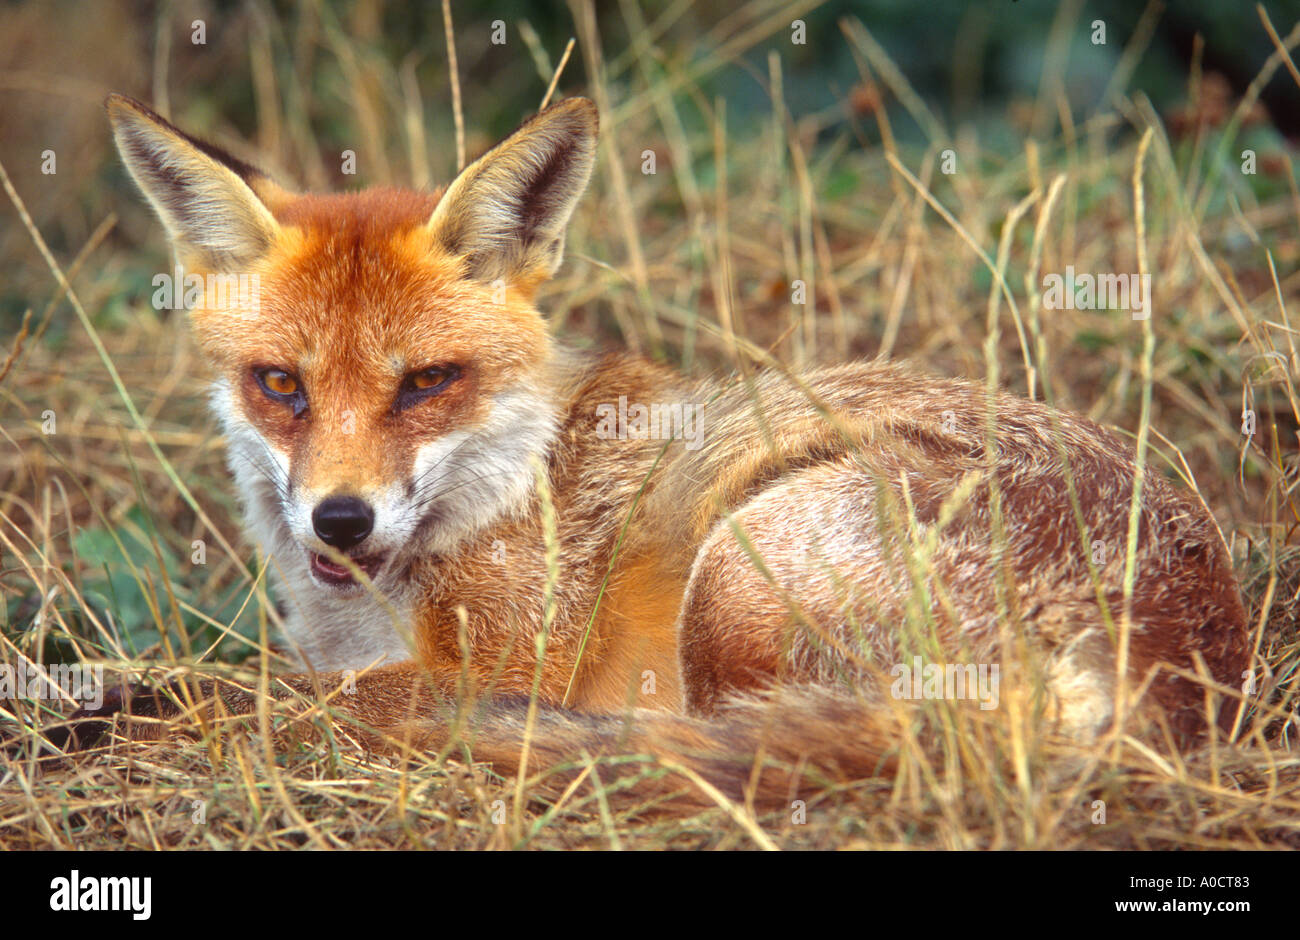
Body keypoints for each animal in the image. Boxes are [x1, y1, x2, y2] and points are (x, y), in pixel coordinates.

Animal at [59, 92, 1249, 810]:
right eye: (282, 387)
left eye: (427, 384)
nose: (339, 519)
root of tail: (1178, 666)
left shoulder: (498, 659)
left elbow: (257, 692)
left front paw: (112, 695)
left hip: (735, 574)